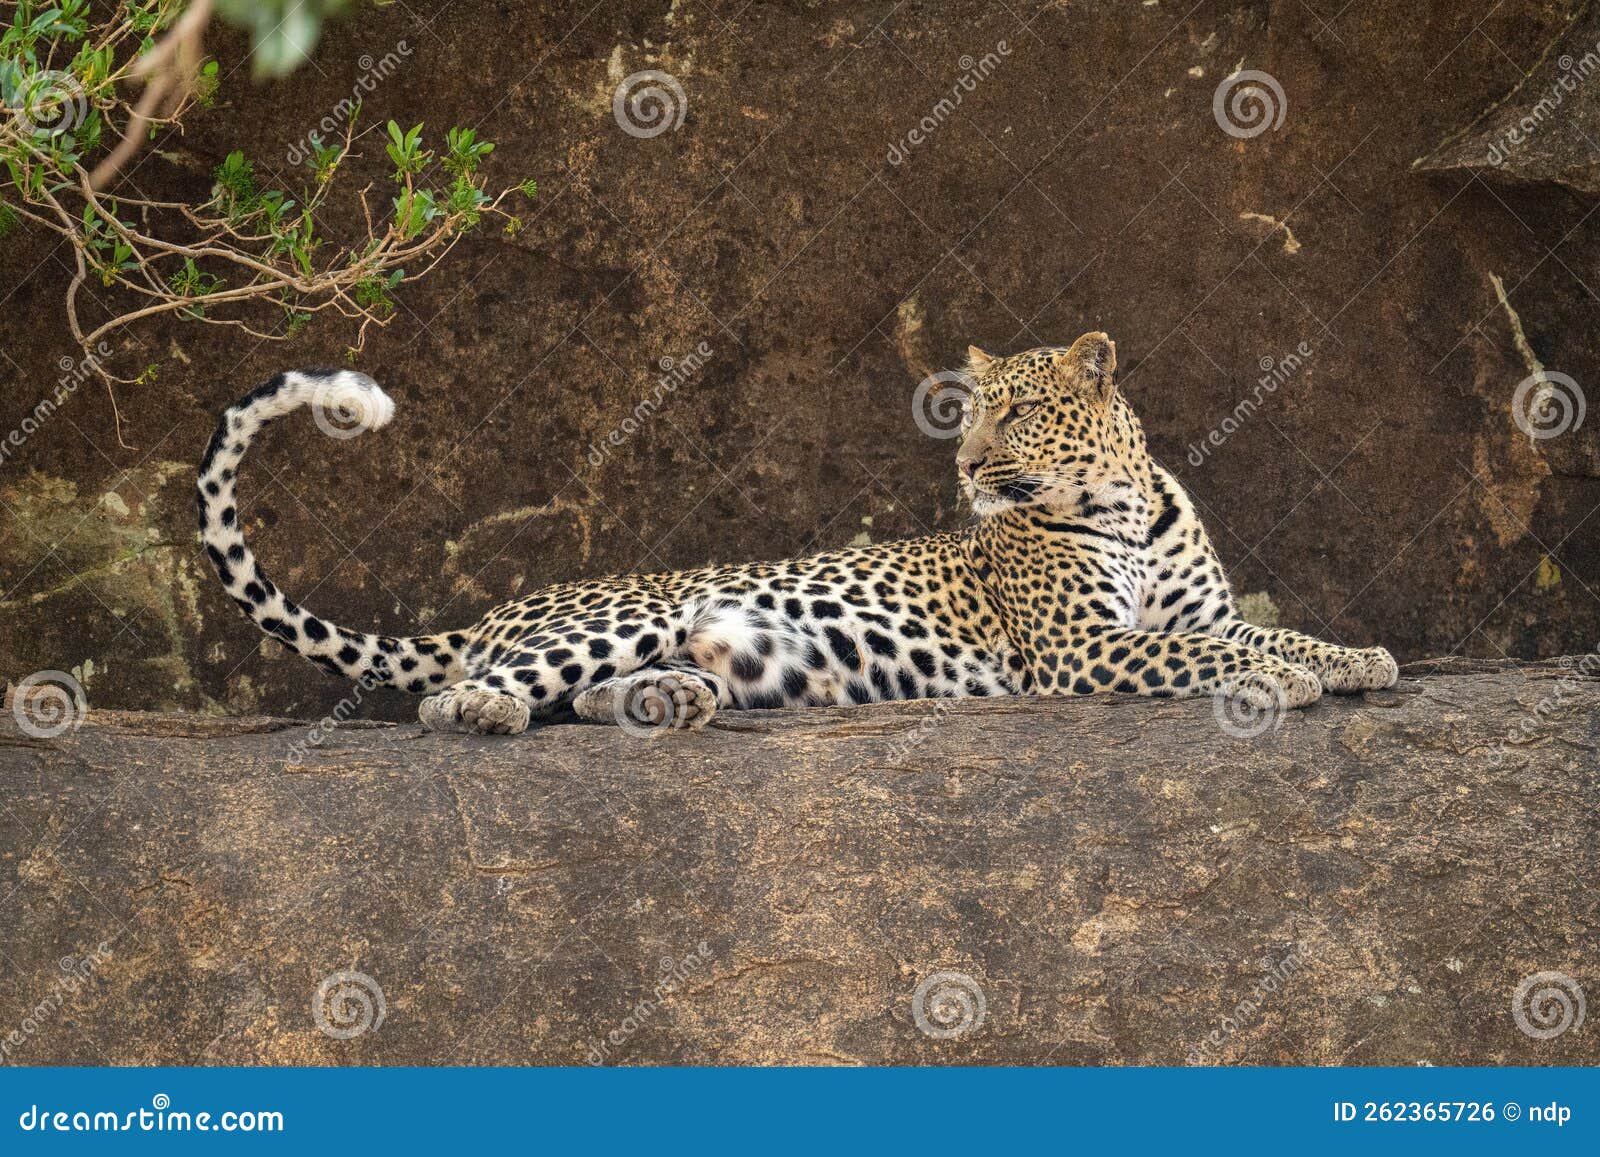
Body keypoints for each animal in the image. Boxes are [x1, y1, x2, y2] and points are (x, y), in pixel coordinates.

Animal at [197, 330, 1398, 736]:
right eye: (970, 412)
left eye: (1013, 412)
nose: (964, 467)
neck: (1123, 505)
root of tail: (498, 606)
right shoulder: (1080, 649)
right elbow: (1210, 652)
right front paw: (1291, 677)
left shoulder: (1188, 610)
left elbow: (1253, 628)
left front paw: (1353, 656)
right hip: (620, 616)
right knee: (461, 696)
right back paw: (490, 708)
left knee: (592, 697)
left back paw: (666, 704)